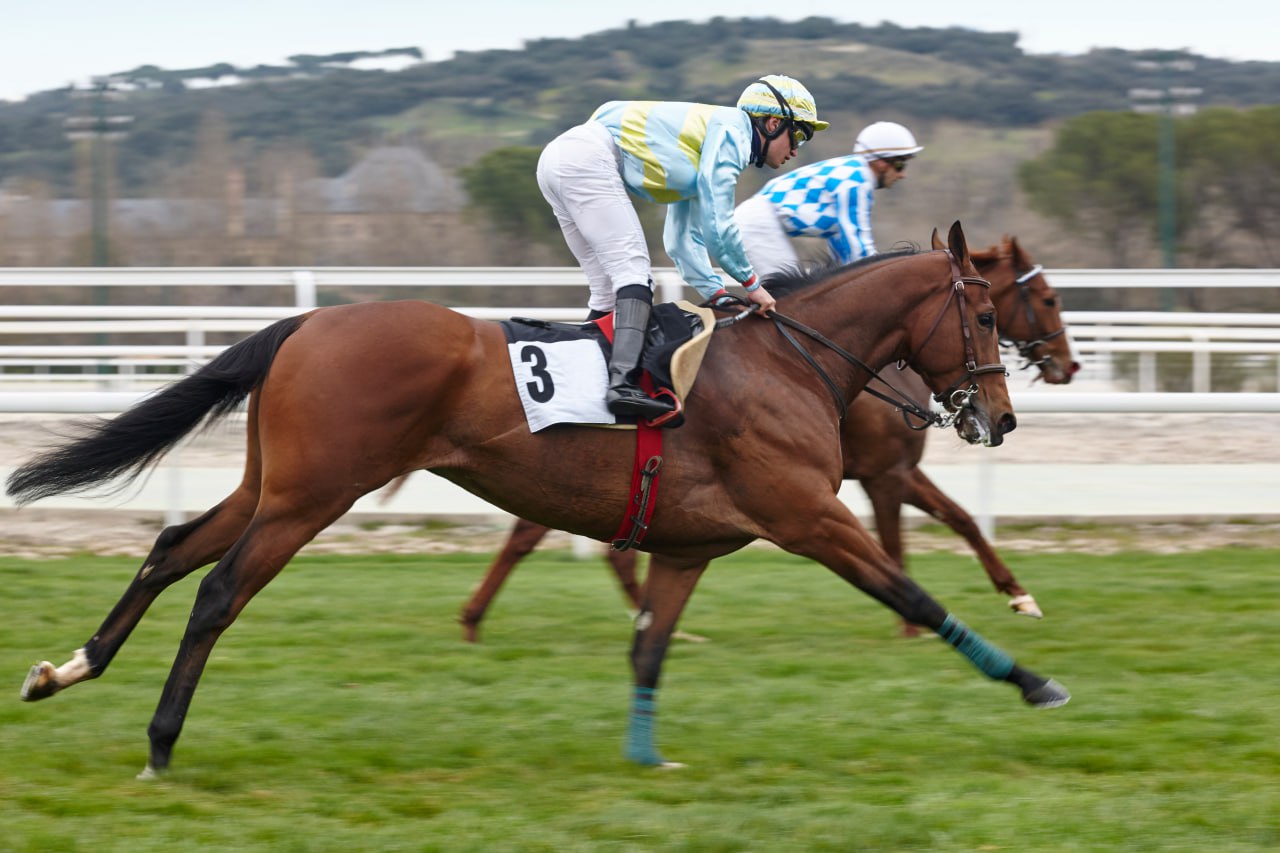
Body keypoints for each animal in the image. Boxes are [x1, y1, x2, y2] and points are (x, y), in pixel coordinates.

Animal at [455, 233, 1079, 642]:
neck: (797, 357)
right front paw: (914, 622)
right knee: (546, 537)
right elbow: (900, 544)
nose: (1003, 417)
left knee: (551, 534)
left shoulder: (892, 473)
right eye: (991, 315)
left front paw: (1018, 595)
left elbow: (962, 518)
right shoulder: (880, 476)